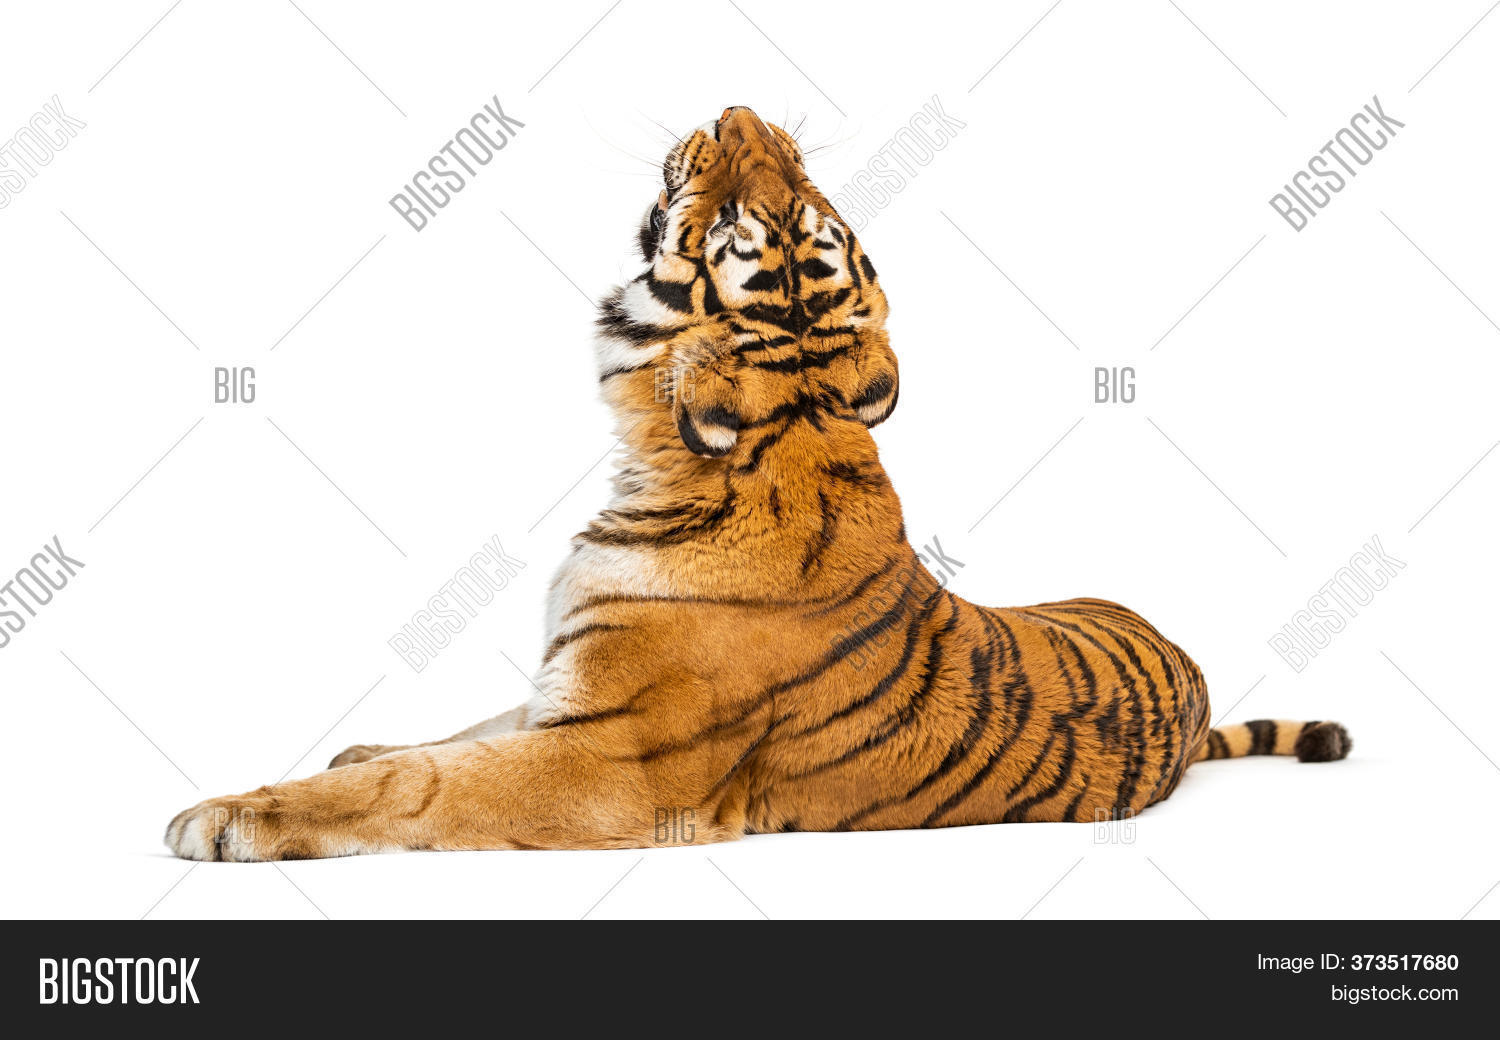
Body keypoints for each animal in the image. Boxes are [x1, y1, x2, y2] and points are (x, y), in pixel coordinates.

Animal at [166, 106, 1350, 861]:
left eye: (763, 218)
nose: (741, 108)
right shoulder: (567, 691)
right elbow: (459, 730)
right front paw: (364, 736)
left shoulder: (616, 755)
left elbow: (429, 782)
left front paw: (227, 816)